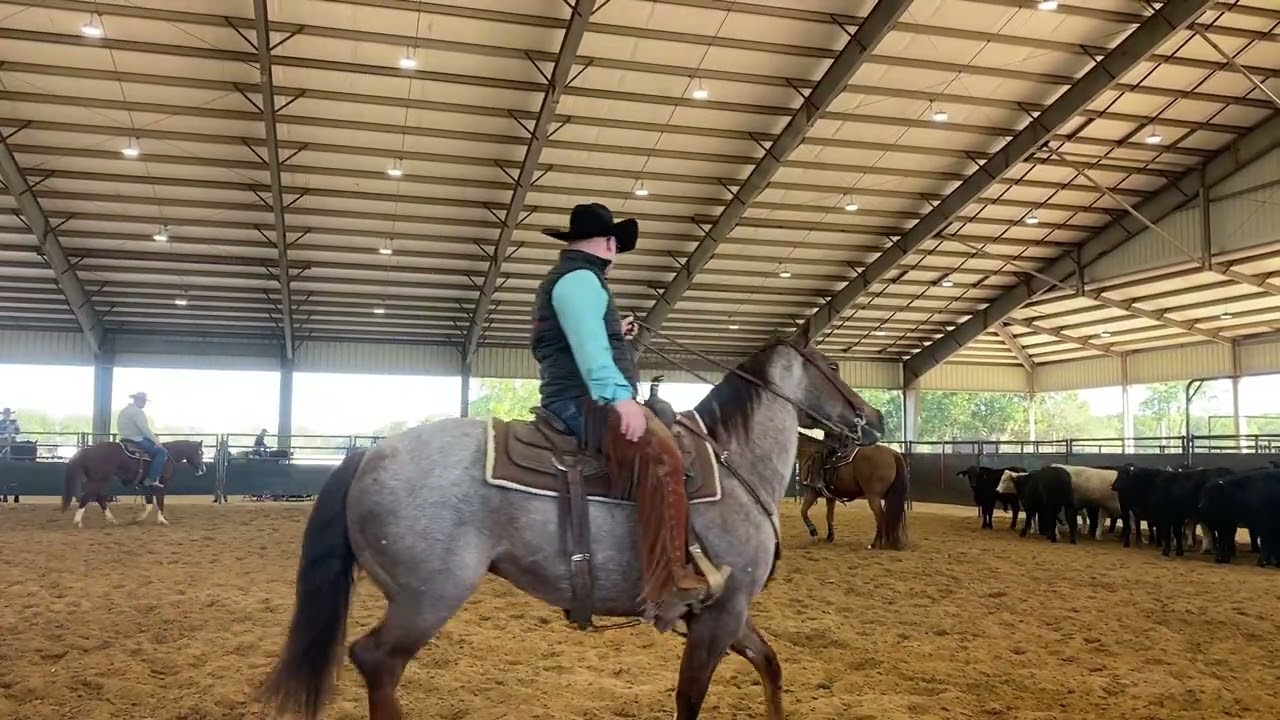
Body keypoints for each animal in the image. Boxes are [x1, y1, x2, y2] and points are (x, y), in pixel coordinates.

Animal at [61, 439, 206, 528]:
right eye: (200, 452)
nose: (203, 469)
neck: (168, 456)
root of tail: (88, 450)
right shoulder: (162, 485)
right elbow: (160, 502)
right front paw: (162, 520)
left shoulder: (148, 486)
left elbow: (149, 504)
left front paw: (138, 518)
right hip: (98, 480)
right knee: (87, 496)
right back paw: (77, 521)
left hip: (98, 480)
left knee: (99, 497)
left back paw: (111, 519)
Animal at [258, 337, 882, 720]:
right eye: (832, 367)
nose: (873, 418)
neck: (734, 463)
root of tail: (369, 454)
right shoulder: (718, 616)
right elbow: (690, 698)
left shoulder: (726, 613)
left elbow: (770, 664)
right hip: (428, 597)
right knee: (378, 661)